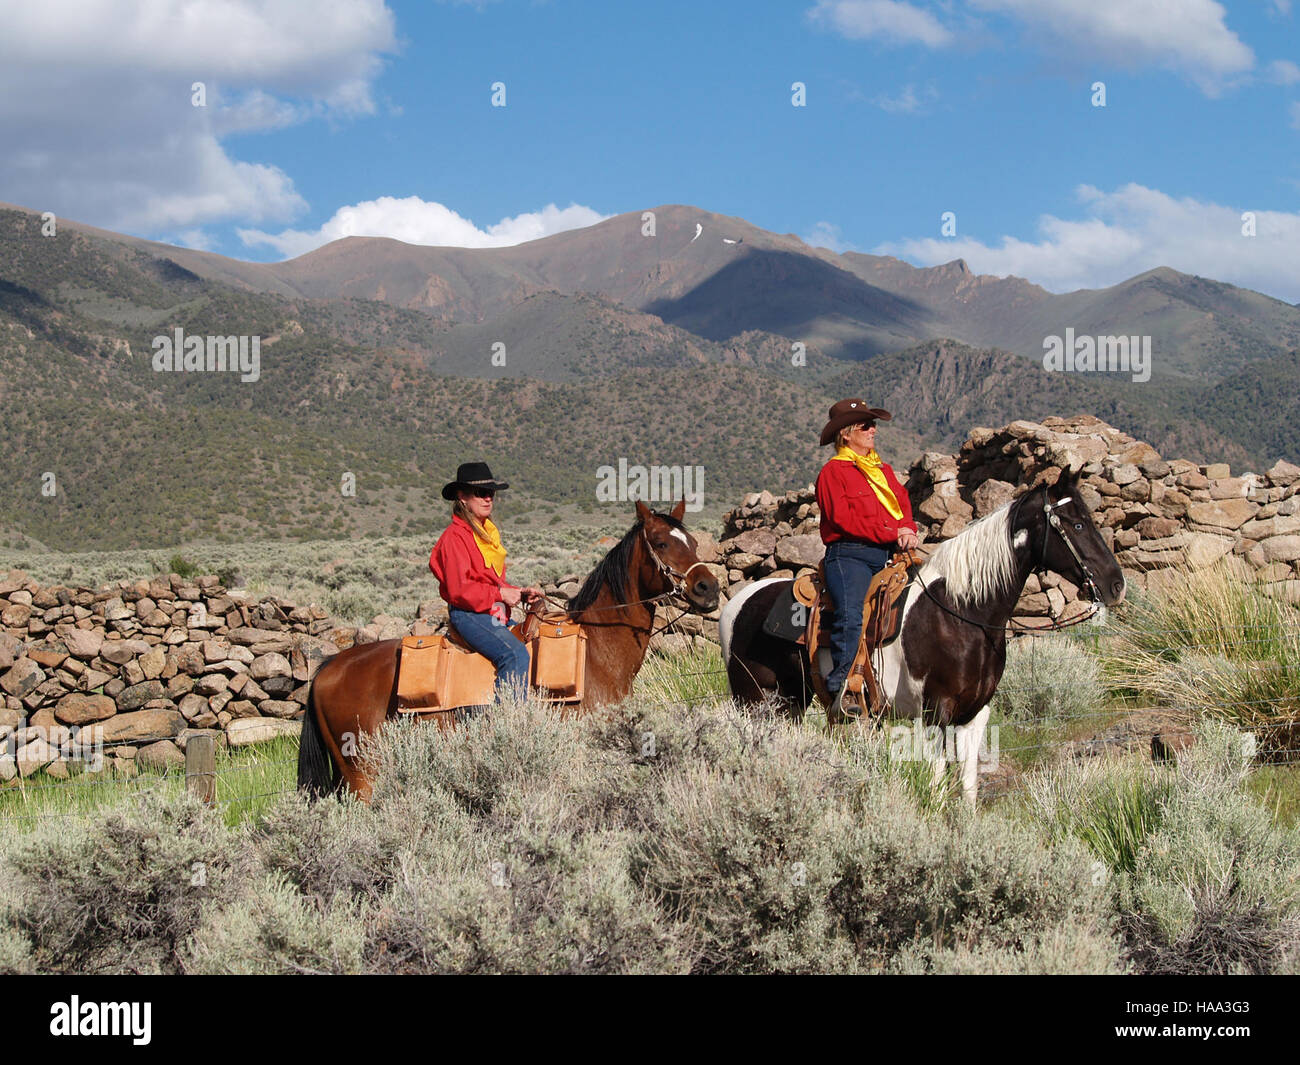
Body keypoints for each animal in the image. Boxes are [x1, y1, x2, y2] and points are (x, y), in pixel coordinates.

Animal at [297, 500, 720, 800]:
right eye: (662, 542)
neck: (595, 653)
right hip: (364, 775)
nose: (708, 589)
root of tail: (329, 668)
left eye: (693, 542)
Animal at [718, 467, 1126, 806]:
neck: (963, 612)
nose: (1116, 585)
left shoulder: (975, 713)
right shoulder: (935, 711)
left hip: (790, 703)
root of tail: (736, 603)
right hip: (754, 701)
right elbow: (936, 782)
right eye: (1076, 525)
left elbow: (967, 786)